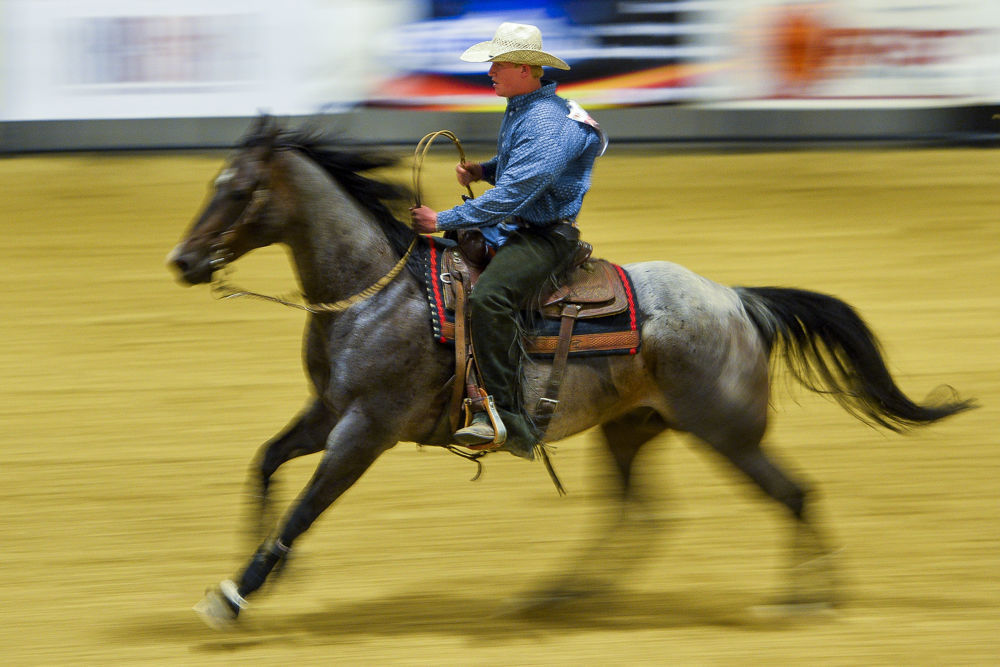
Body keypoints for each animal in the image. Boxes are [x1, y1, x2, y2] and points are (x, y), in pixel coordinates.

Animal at [168, 116, 974, 629]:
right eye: (212, 182)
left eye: (237, 189)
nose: (182, 261)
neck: (377, 293)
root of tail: (740, 301)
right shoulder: (327, 411)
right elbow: (265, 463)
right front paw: (273, 573)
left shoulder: (364, 429)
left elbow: (307, 504)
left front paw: (234, 595)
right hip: (633, 428)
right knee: (639, 517)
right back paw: (554, 595)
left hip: (727, 433)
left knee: (794, 493)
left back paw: (806, 601)